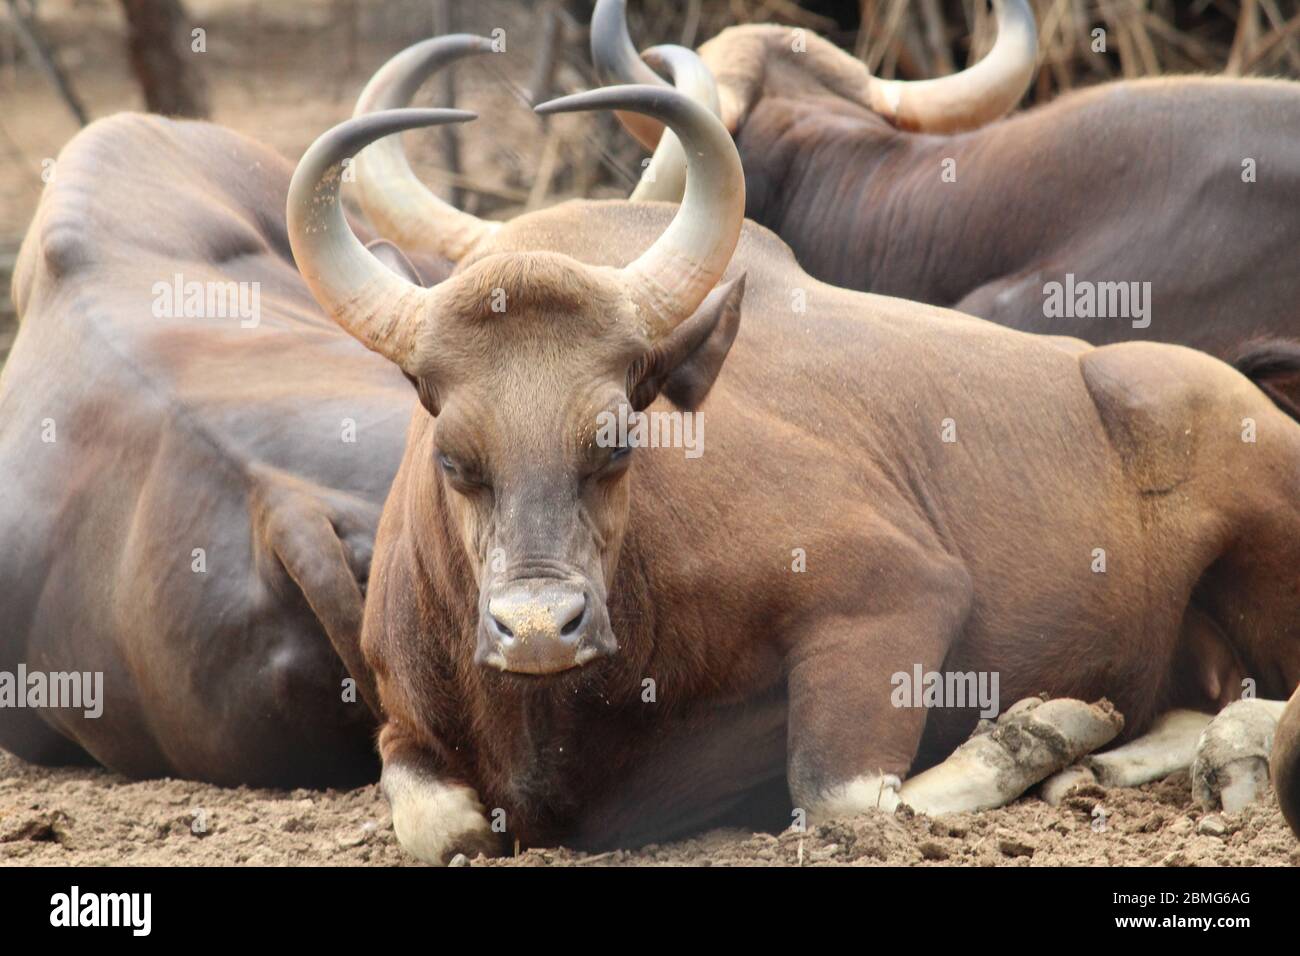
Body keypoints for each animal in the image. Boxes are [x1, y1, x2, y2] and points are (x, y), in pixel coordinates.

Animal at [288, 70, 1300, 862]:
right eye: (453, 454)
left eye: (616, 439)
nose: (539, 629)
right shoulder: (404, 719)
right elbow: (439, 824)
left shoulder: (897, 589)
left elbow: (839, 798)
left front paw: (1032, 732)